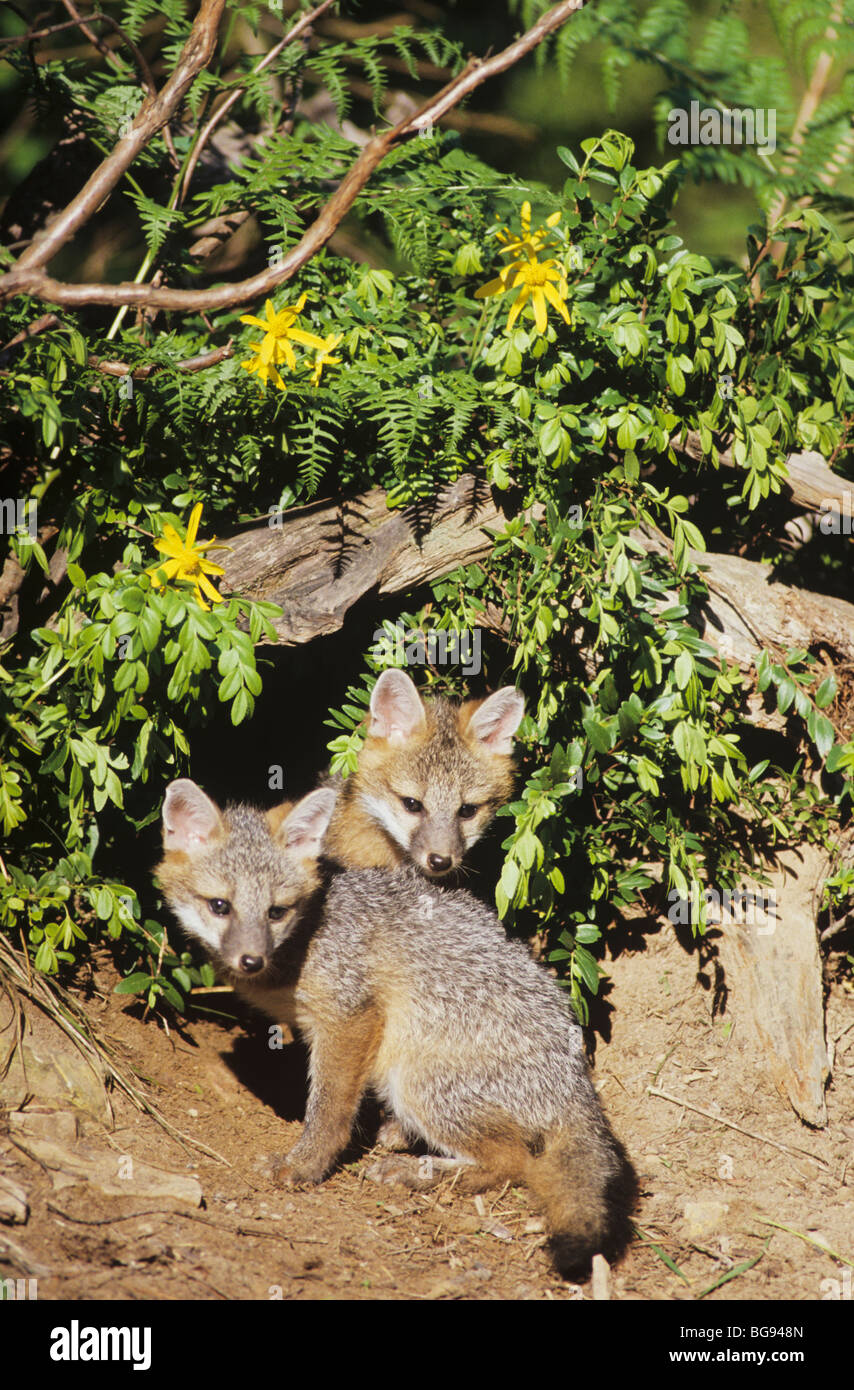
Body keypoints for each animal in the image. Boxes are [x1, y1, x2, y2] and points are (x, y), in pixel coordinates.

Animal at [156, 779, 632, 1275]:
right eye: (220, 906)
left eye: (276, 912)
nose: (251, 959)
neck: (307, 936)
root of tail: (577, 1081)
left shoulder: (351, 1015)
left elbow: (329, 1110)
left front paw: (306, 1164)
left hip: (416, 1081)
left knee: (509, 1160)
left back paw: (419, 1171)